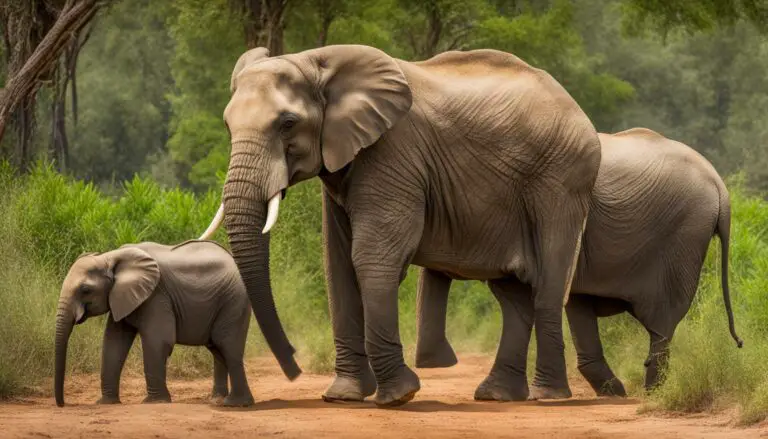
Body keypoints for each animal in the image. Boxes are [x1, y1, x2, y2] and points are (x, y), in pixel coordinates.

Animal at [54, 240, 255, 408]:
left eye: (85, 290)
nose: (64, 405)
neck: (110, 257)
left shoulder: (156, 295)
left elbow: (158, 341)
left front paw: (154, 402)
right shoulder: (123, 297)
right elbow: (113, 343)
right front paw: (105, 403)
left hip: (234, 300)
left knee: (226, 345)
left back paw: (234, 404)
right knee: (217, 349)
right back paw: (217, 400)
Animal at [198, 44, 602, 407]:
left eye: (287, 124)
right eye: (227, 125)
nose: (294, 366)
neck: (316, 60)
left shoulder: (393, 150)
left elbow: (371, 255)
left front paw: (398, 396)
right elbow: (338, 263)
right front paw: (343, 396)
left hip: (561, 179)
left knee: (548, 283)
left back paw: (548, 396)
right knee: (513, 297)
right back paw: (498, 395)